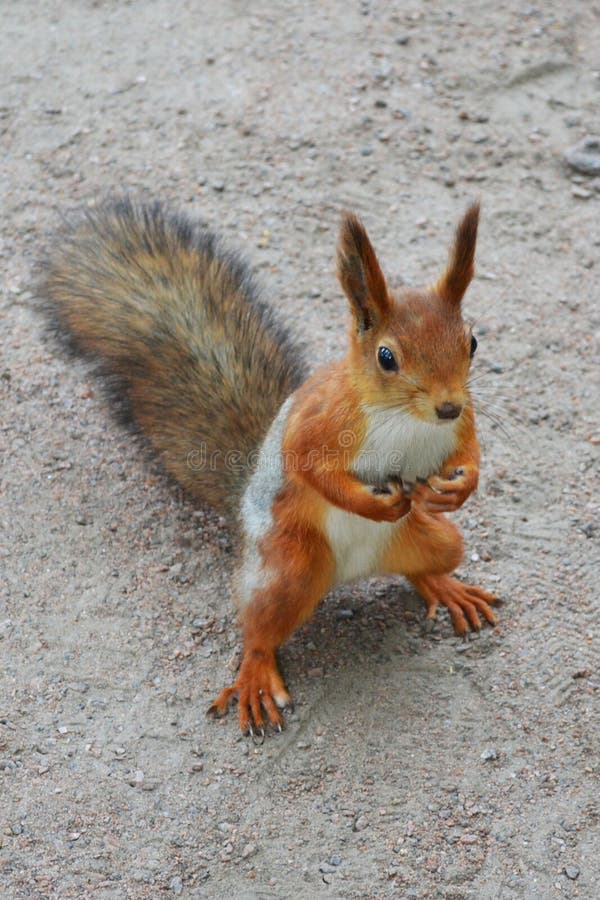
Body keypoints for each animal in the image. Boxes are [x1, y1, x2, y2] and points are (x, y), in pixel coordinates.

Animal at [41, 197, 497, 737]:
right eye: (387, 356)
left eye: (472, 343)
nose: (447, 406)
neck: (404, 417)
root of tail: (353, 572)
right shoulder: (318, 422)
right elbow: (310, 467)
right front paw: (370, 503)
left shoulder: (462, 425)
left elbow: (469, 454)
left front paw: (461, 487)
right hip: (288, 566)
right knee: (257, 629)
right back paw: (256, 677)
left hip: (434, 539)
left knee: (426, 565)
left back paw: (445, 587)